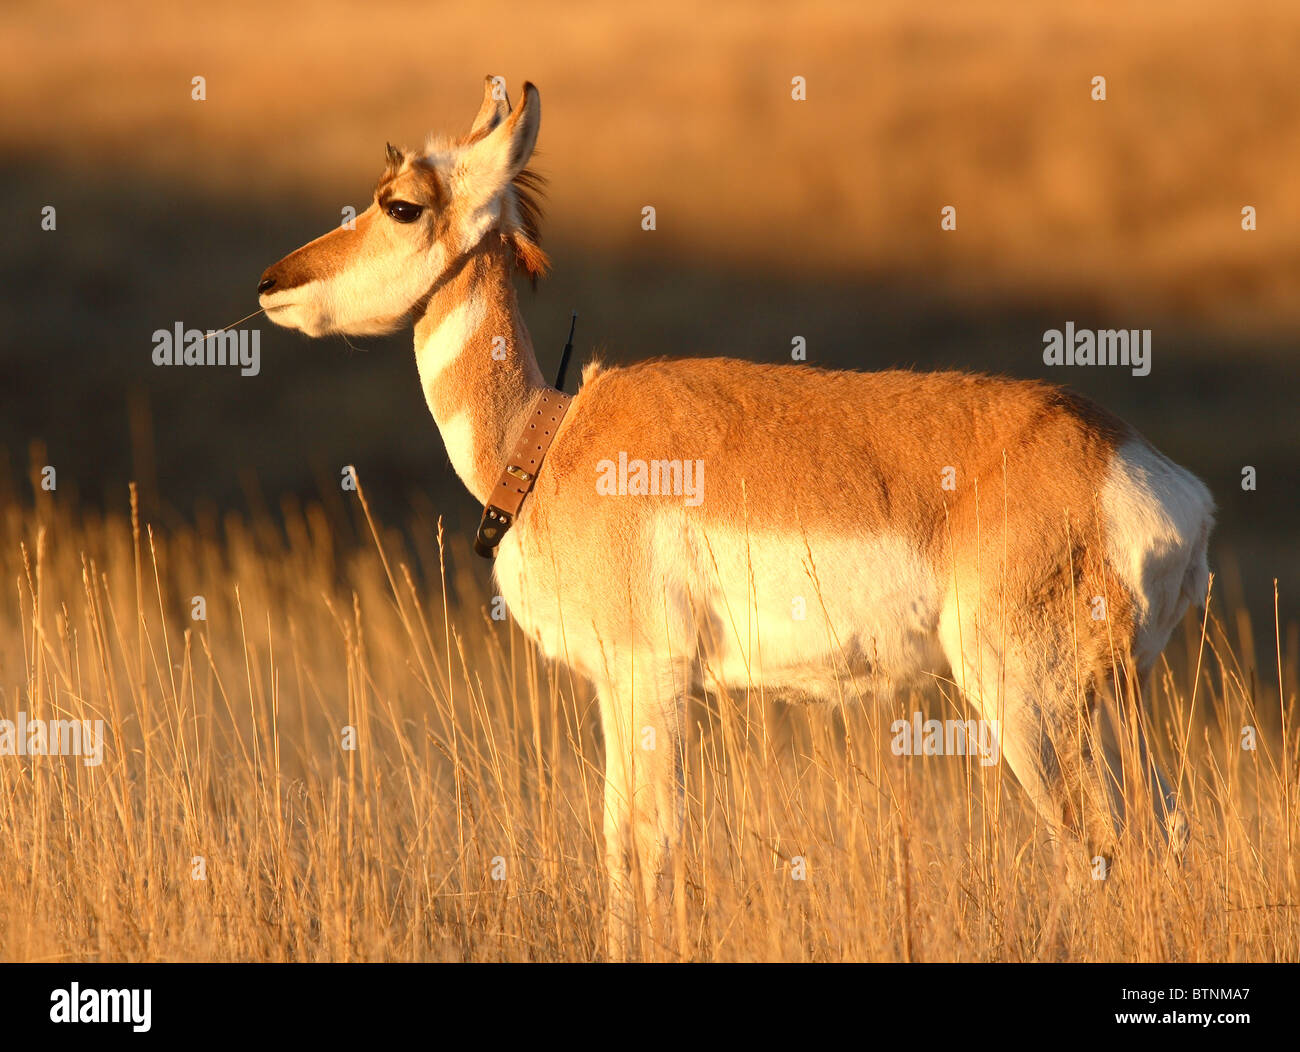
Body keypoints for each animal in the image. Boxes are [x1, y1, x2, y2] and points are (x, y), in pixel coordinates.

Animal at [258, 77, 1215, 957]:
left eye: (401, 204)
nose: (271, 282)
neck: (549, 437)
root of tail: (1142, 466)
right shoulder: (619, 687)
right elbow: (617, 840)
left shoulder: (651, 678)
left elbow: (646, 843)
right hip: (1106, 707)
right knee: (1163, 832)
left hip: (1027, 704)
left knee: (1095, 845)